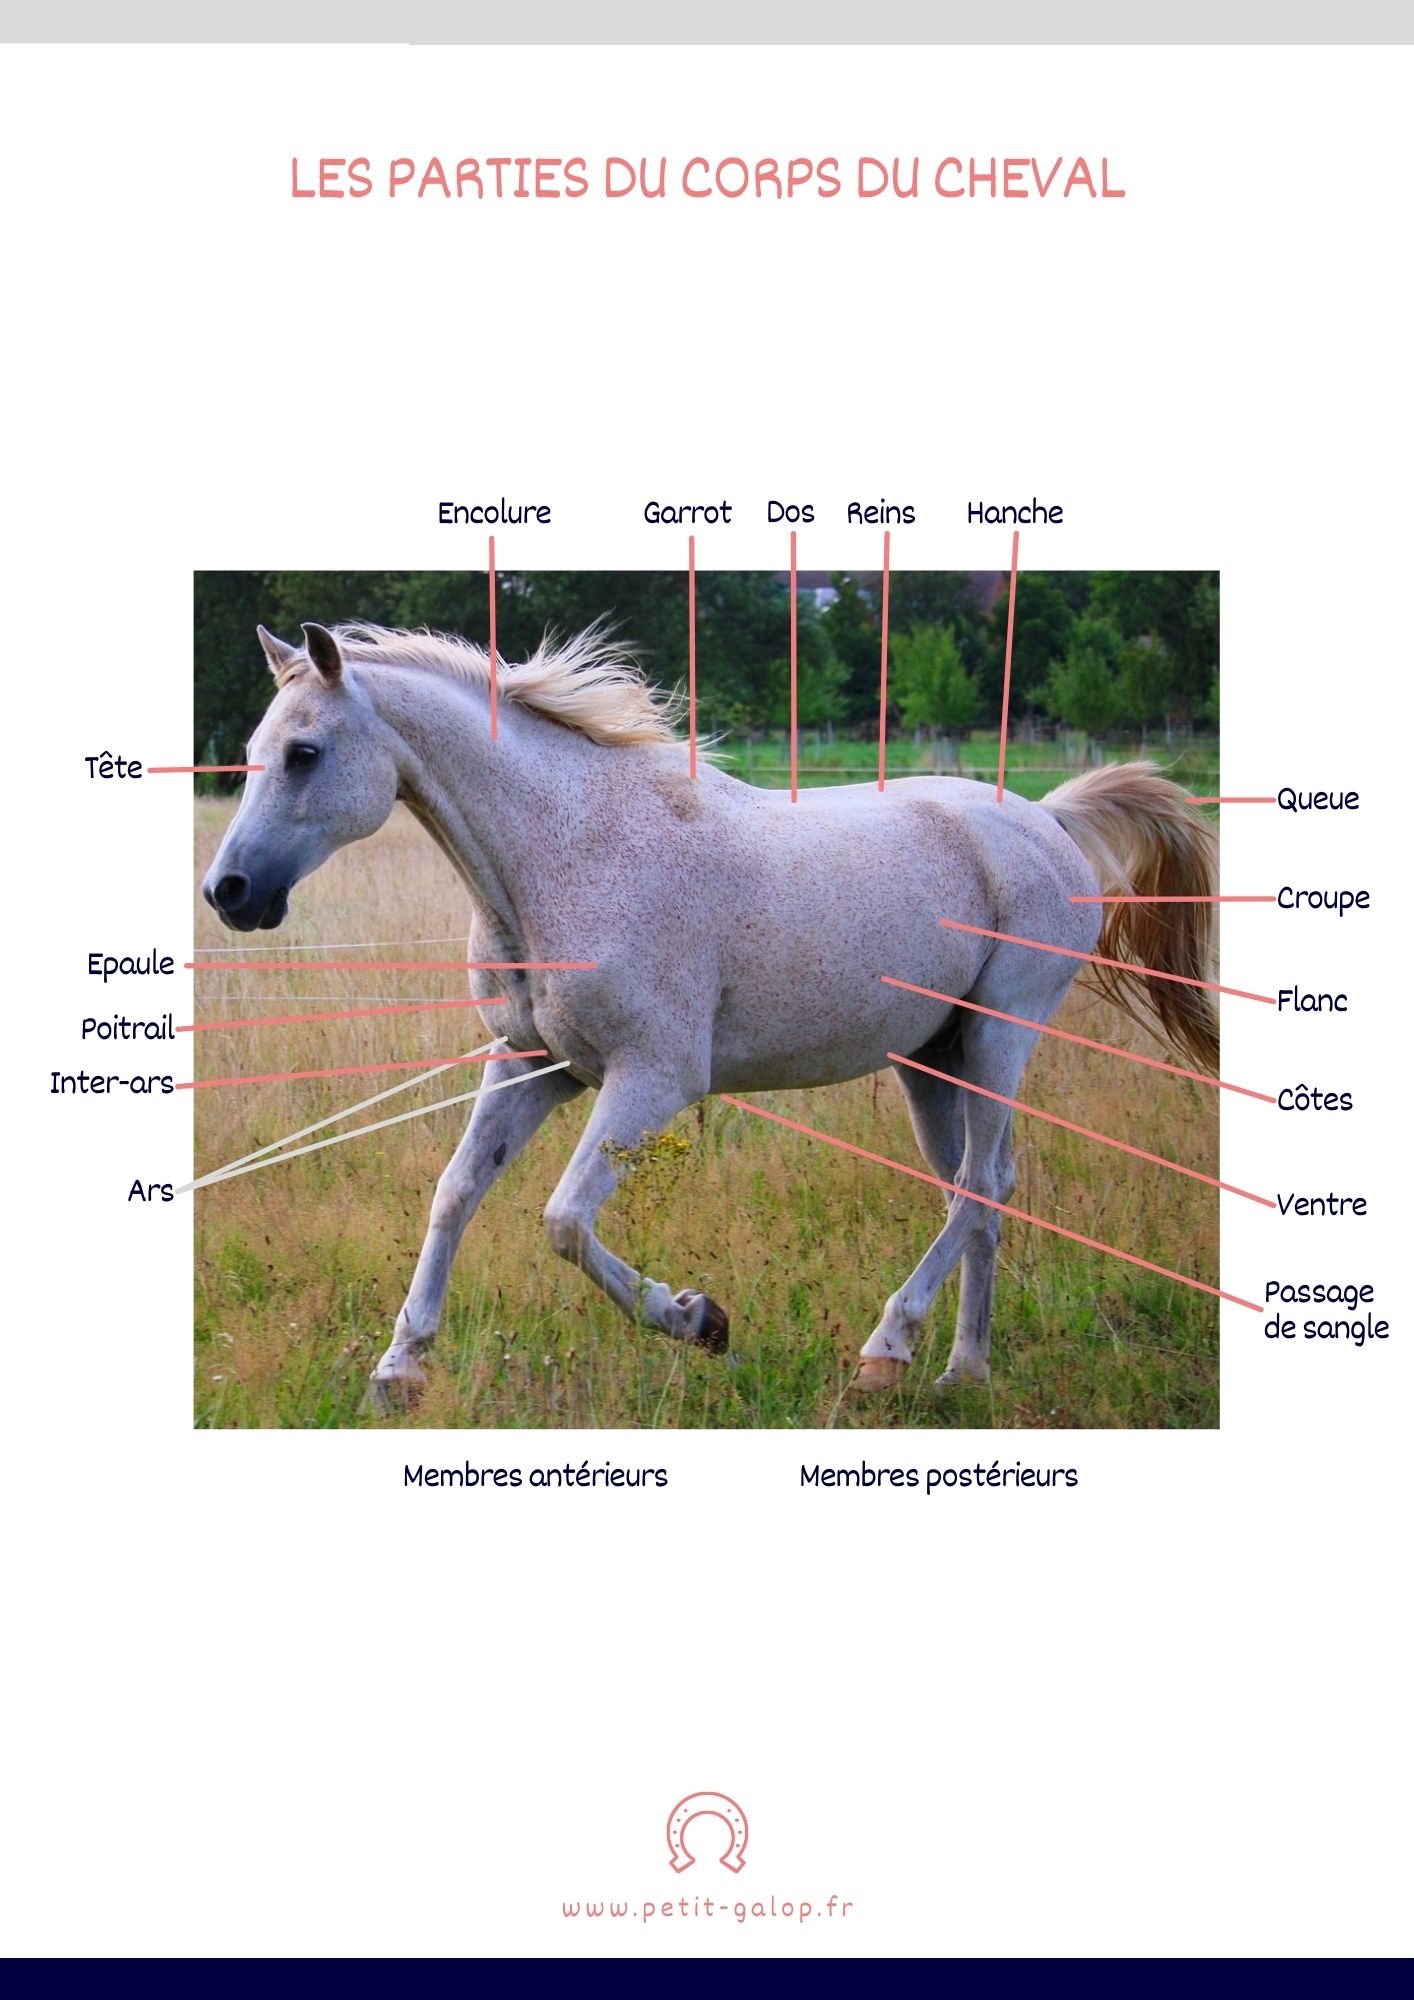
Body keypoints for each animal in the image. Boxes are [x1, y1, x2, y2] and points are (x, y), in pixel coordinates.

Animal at [201, 619, 1219, 1402]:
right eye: (252, 756)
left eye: (304, 753)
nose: (230, 892)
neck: (563, 855)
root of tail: (1048, 819)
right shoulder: (532, 1066)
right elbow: (455, 1194)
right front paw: (399, 1370)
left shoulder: (652, 1079)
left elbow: (565, 1220)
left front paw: (698, 1319)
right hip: (933, 1059)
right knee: (982, 1191)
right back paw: (960, 1373)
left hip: (1004, 1033)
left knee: (978, 1186)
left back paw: (885, 1352)